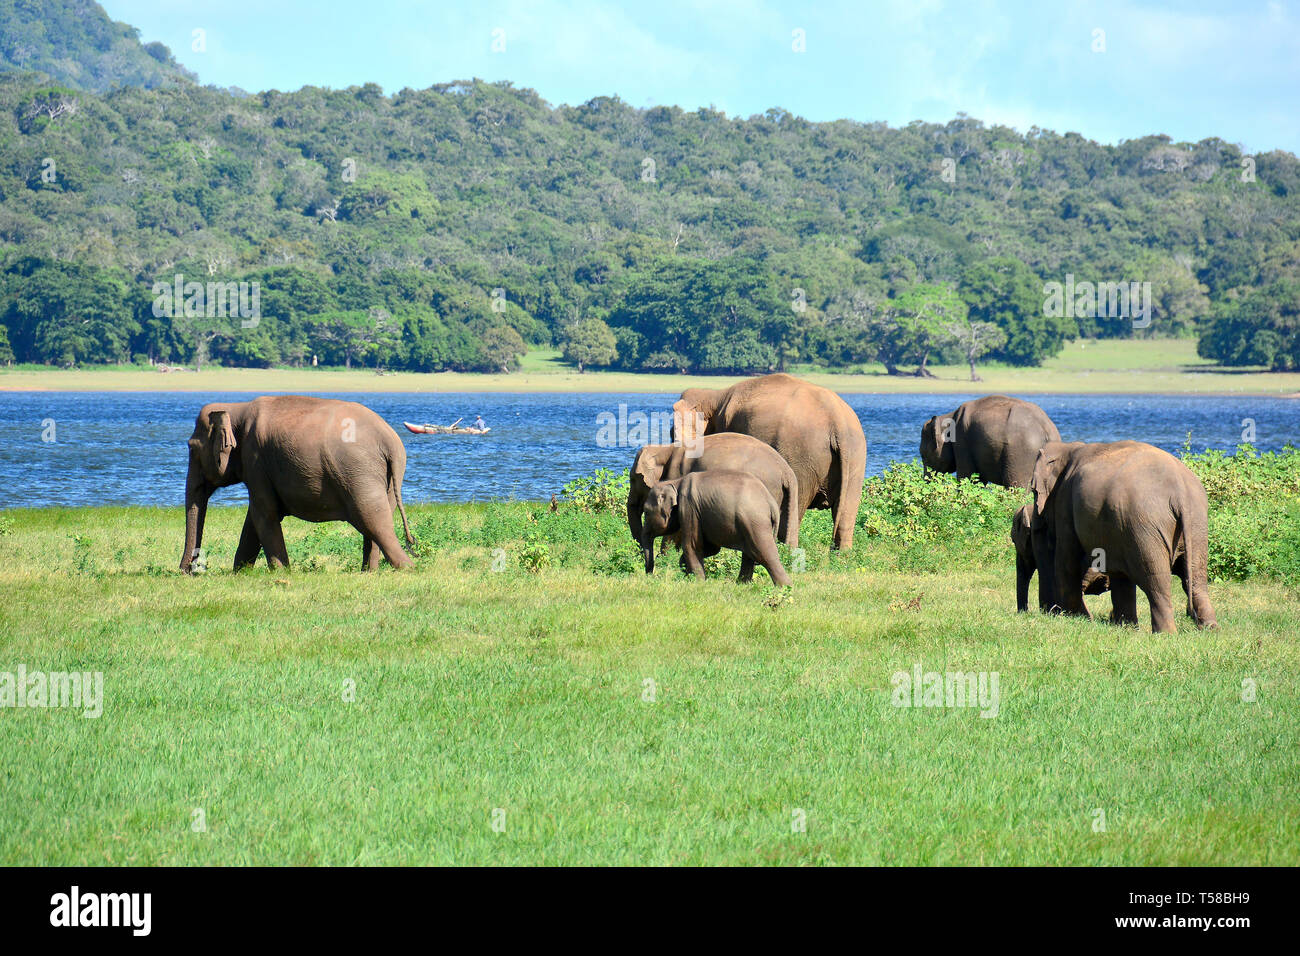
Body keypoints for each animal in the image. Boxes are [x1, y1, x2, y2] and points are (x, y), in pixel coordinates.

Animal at [179, 396, 415, 573]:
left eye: (191, 448)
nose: (188, 572)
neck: (236, 407)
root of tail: (389, 440)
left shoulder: (255, 460)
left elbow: (264, 513)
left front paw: (281, 572)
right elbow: (253, 519)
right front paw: (241, 573)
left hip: (357, 472)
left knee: (374, 521)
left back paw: (407, 568)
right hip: (386, 478)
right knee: (377, 520)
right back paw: (369, 572)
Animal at [640, 470, 793, 586]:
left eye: (646, 512)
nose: (650, 576)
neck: (676, 482)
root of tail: (770, 501)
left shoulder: (689, 508)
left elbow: (692, 546)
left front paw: (699, 582)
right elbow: (712, 548)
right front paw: (687, 573)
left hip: (755, 522)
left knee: (764, 554)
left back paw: (785, 587)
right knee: (750, 554)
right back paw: (741, 584)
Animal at [671, 373, 867, 550]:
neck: (715, 395)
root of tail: (837, 420)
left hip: (802, 456)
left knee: (794, 506)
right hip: (855, 456)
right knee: (846, 511)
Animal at [921, 395, 1061, 489]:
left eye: (923, 455)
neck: (949, 416)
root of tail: (1047, 429)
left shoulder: (962, 443)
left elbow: (968, 478)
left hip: (1022, 453)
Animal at [1030, 441, 1216, 633]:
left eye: (1033, 491)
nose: (1050, 612)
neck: (1069, 447)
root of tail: (1180, 492)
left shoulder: (1065, 502)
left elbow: (1066, 561)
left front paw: (1075, 618)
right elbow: (1120, 576)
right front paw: (1125, 627)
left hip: (1146, 529)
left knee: (1157, 582)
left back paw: (1166, 634)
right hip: (1196, 525)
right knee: (1195, 578)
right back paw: (1210, 629)